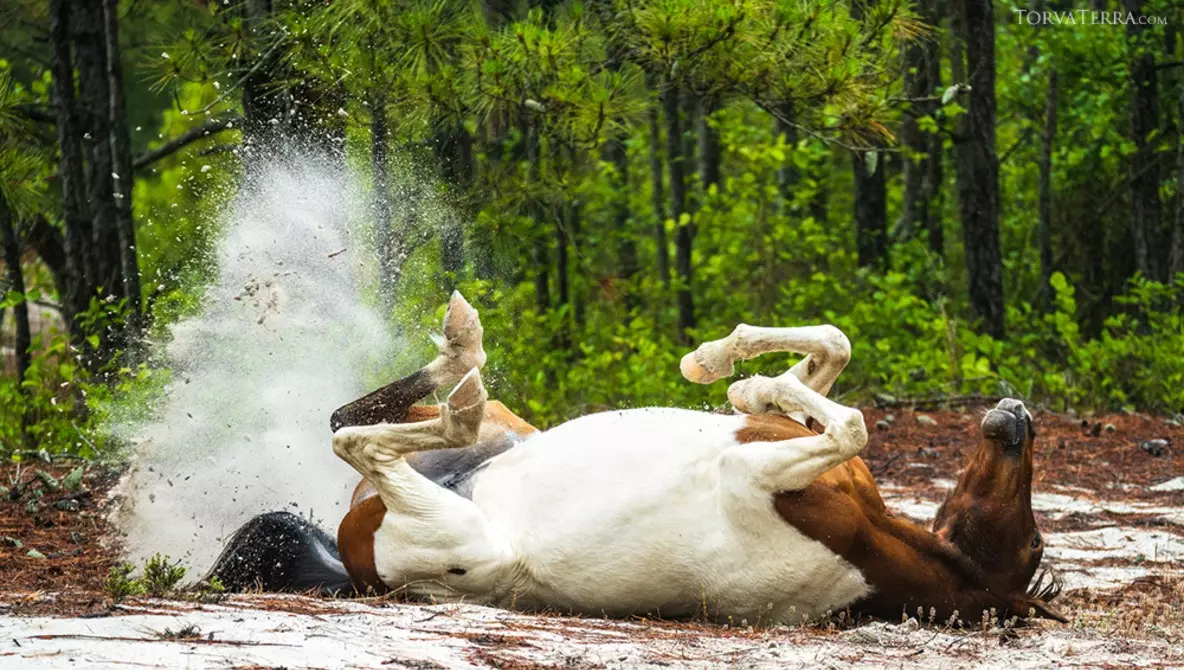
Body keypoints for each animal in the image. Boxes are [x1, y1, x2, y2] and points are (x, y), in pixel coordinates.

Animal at [208, 291, 1070, 629]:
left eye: (1030, 542)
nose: (1017, 414)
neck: (876, 543)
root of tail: (354, 563)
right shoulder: (782, 444)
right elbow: (829, 350)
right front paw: (724, 364)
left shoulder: (758, 473)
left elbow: (850, 421)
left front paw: (742, 374)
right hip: (503, 433)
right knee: (354, 417)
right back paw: (460, 347)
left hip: (460, 532)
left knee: (355, 435)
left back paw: (460, 370)